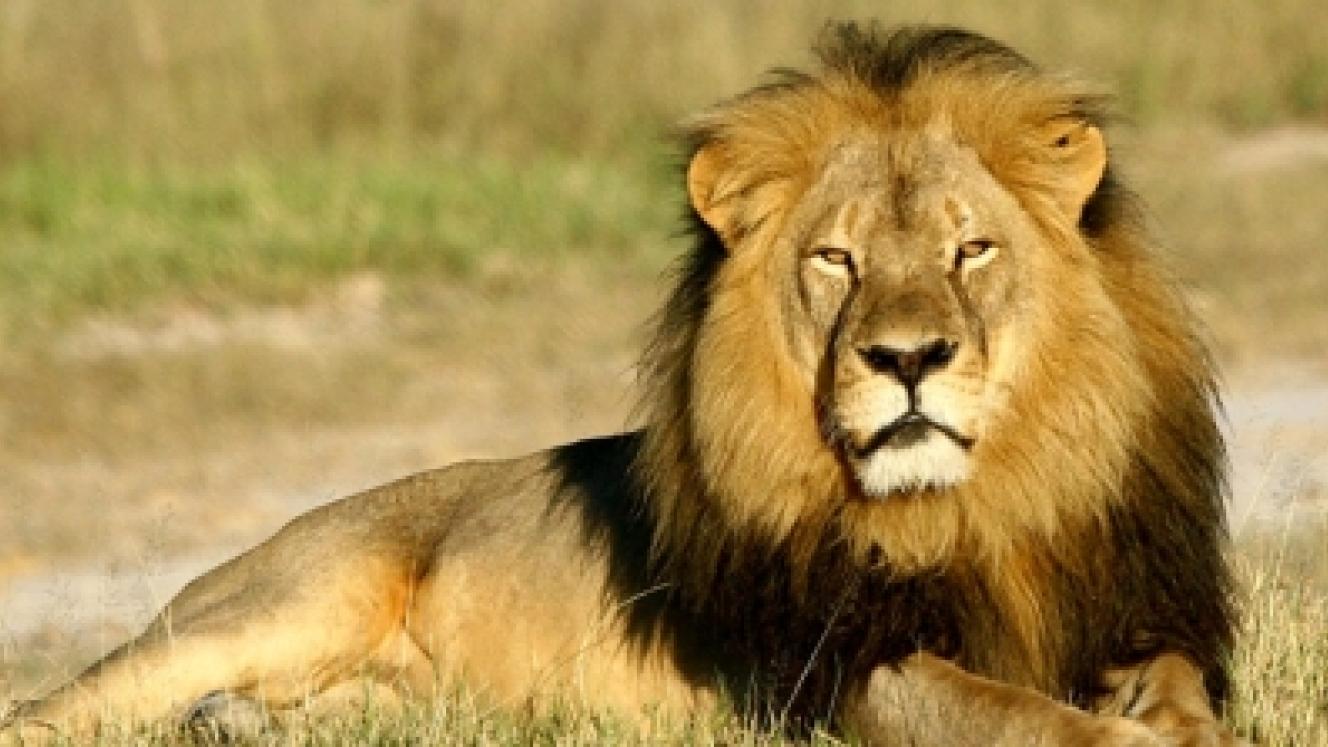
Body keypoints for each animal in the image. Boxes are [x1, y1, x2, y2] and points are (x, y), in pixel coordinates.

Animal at [3, 23, 1241, 746]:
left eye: (968, 250)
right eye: (835, 260)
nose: (904, 361)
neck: (973, 506)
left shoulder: (1126, 609)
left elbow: (1170, 680)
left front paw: (1181, 724)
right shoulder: (832, 671)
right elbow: (1005, 713)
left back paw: (239, 726)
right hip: (279, 602)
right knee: (51, 709)